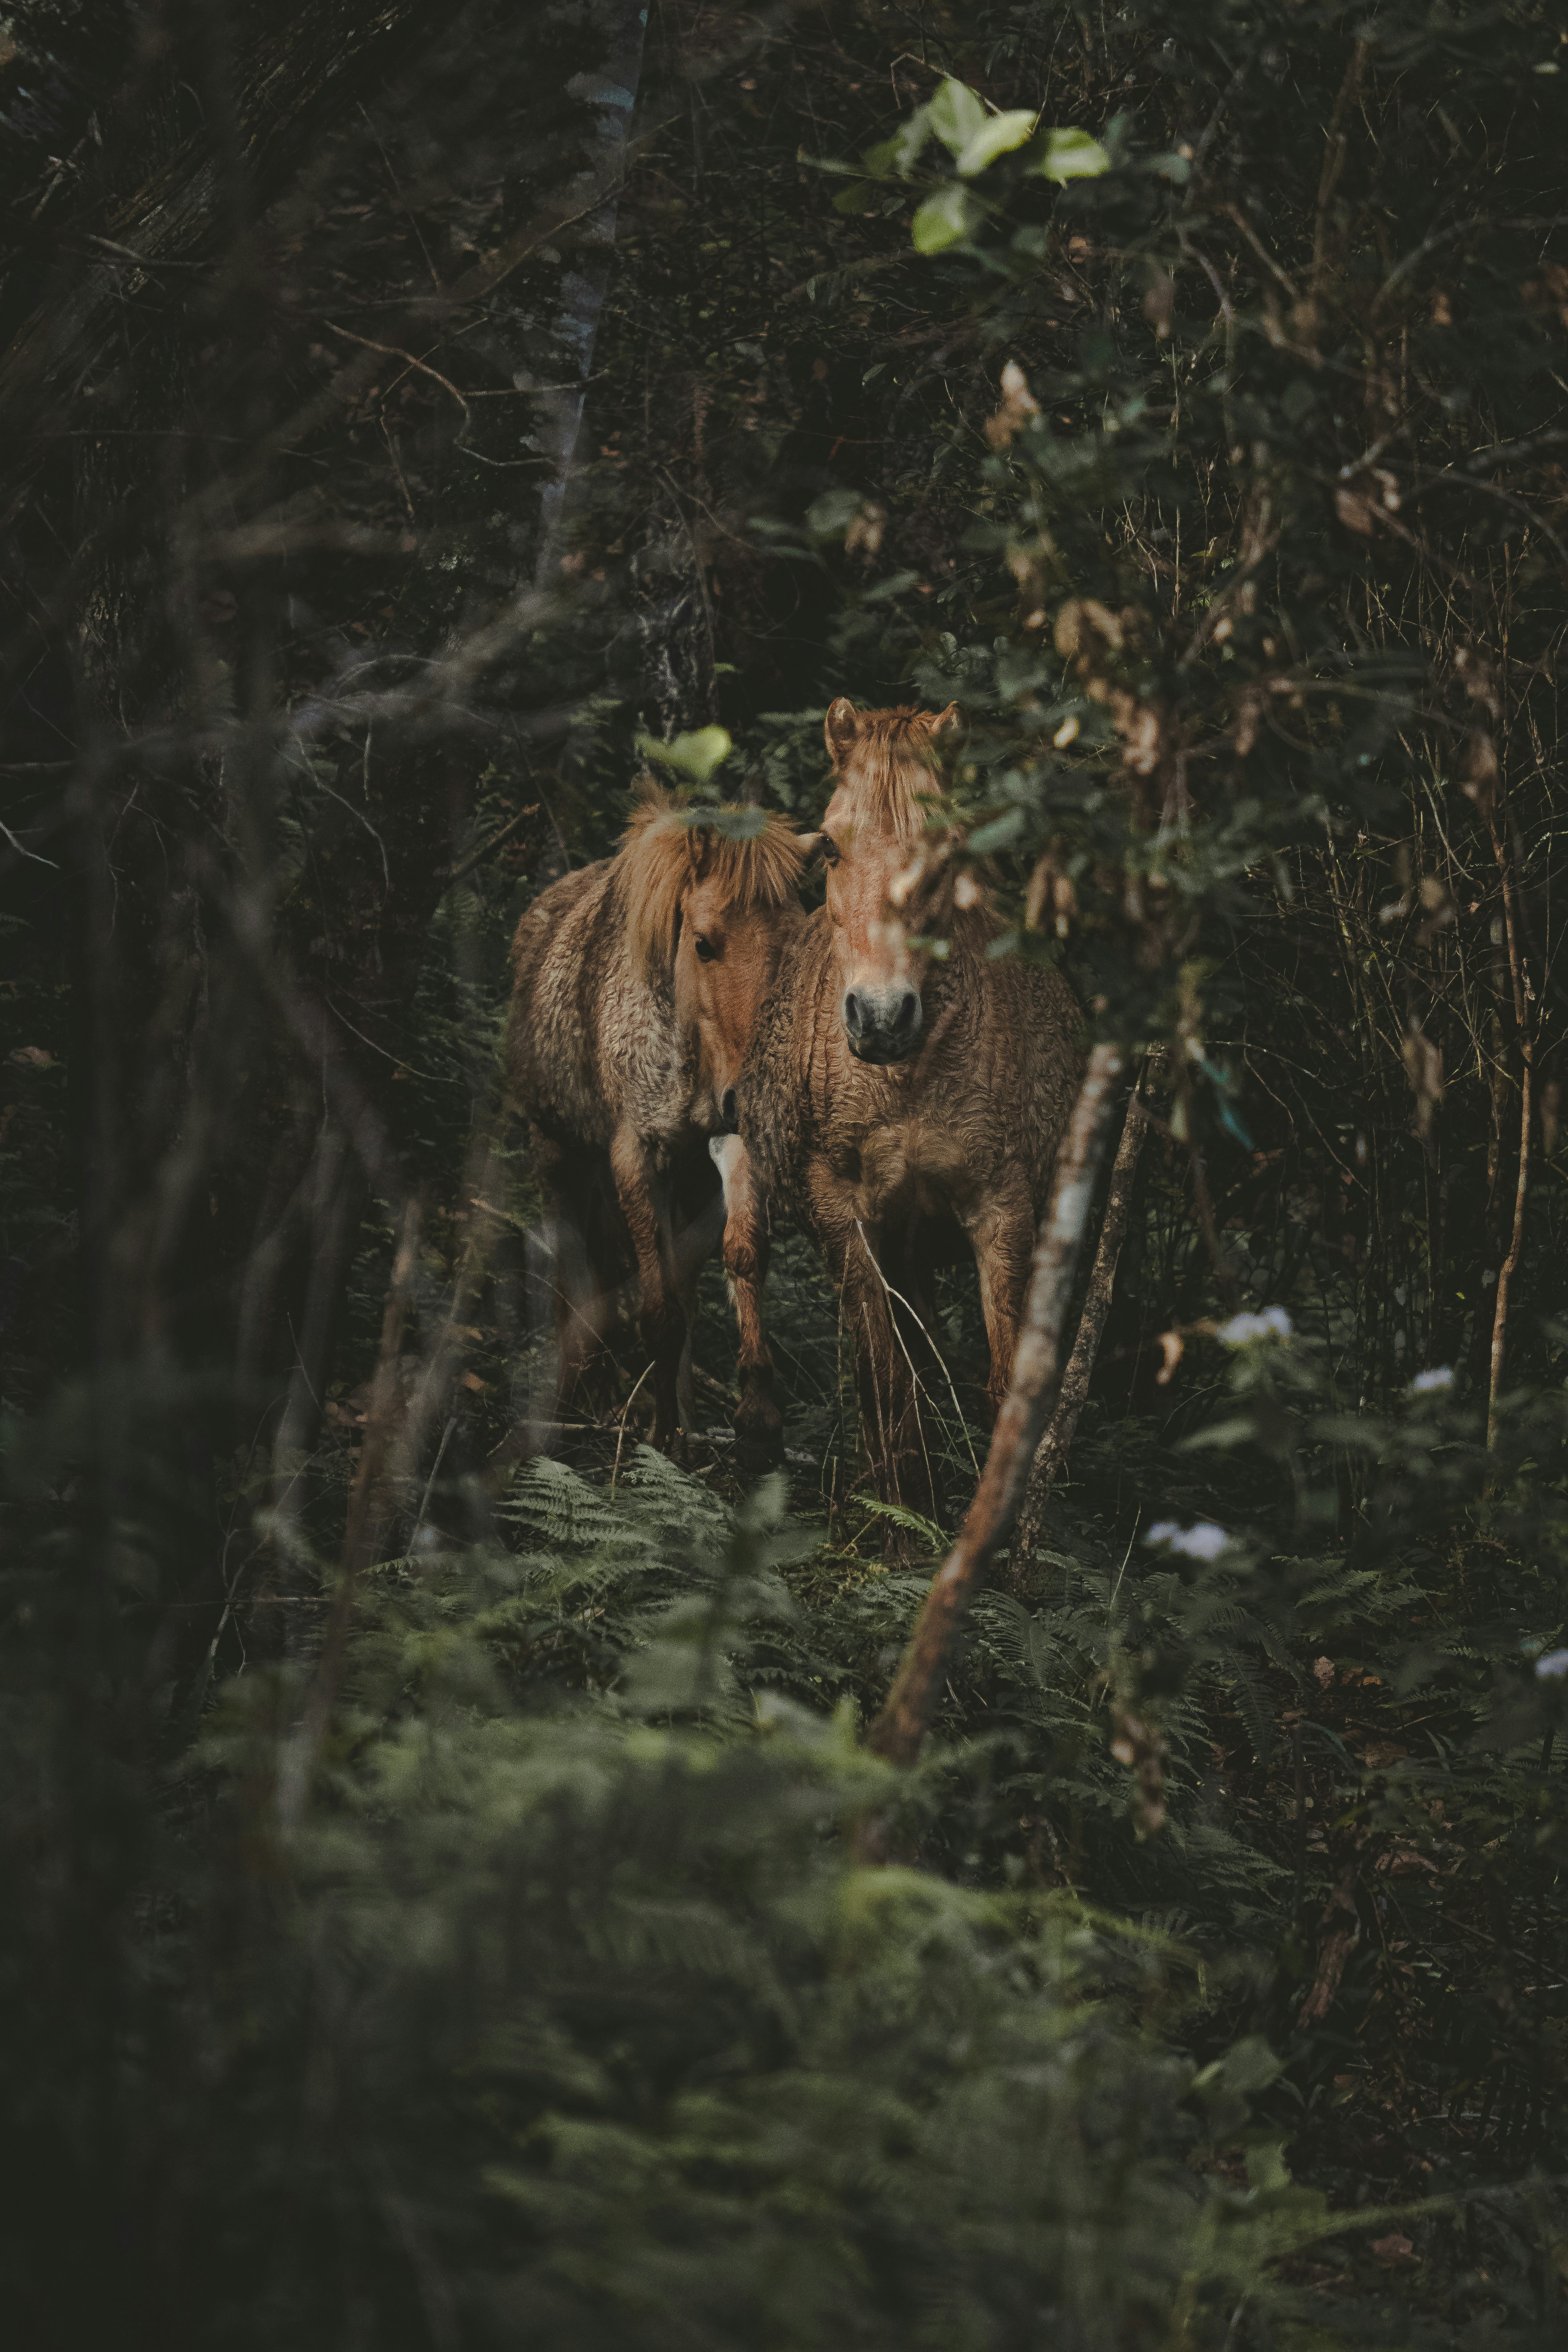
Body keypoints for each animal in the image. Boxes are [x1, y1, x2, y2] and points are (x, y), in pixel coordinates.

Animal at [505, 785, 806, 1459]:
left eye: (792, 946)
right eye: (704, 942)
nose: (753, 1090)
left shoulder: (728, 1142)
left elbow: (741, 1257)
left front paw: (756, 1415)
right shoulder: (634, 1153)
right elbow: (657, 1309)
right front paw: (660, 1430)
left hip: (682, 1177)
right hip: (557, 1156)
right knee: (574, 1271)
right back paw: (578, 1397)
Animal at [738, 699, 1083, 1521]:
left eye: (947, 847)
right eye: (831, 843)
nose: (880, 1015)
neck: (909, 1077)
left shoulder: (1001, 1211)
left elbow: (1000, 1384)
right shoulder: (848, 1220)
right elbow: (887, 1391)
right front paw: (901, 1527)